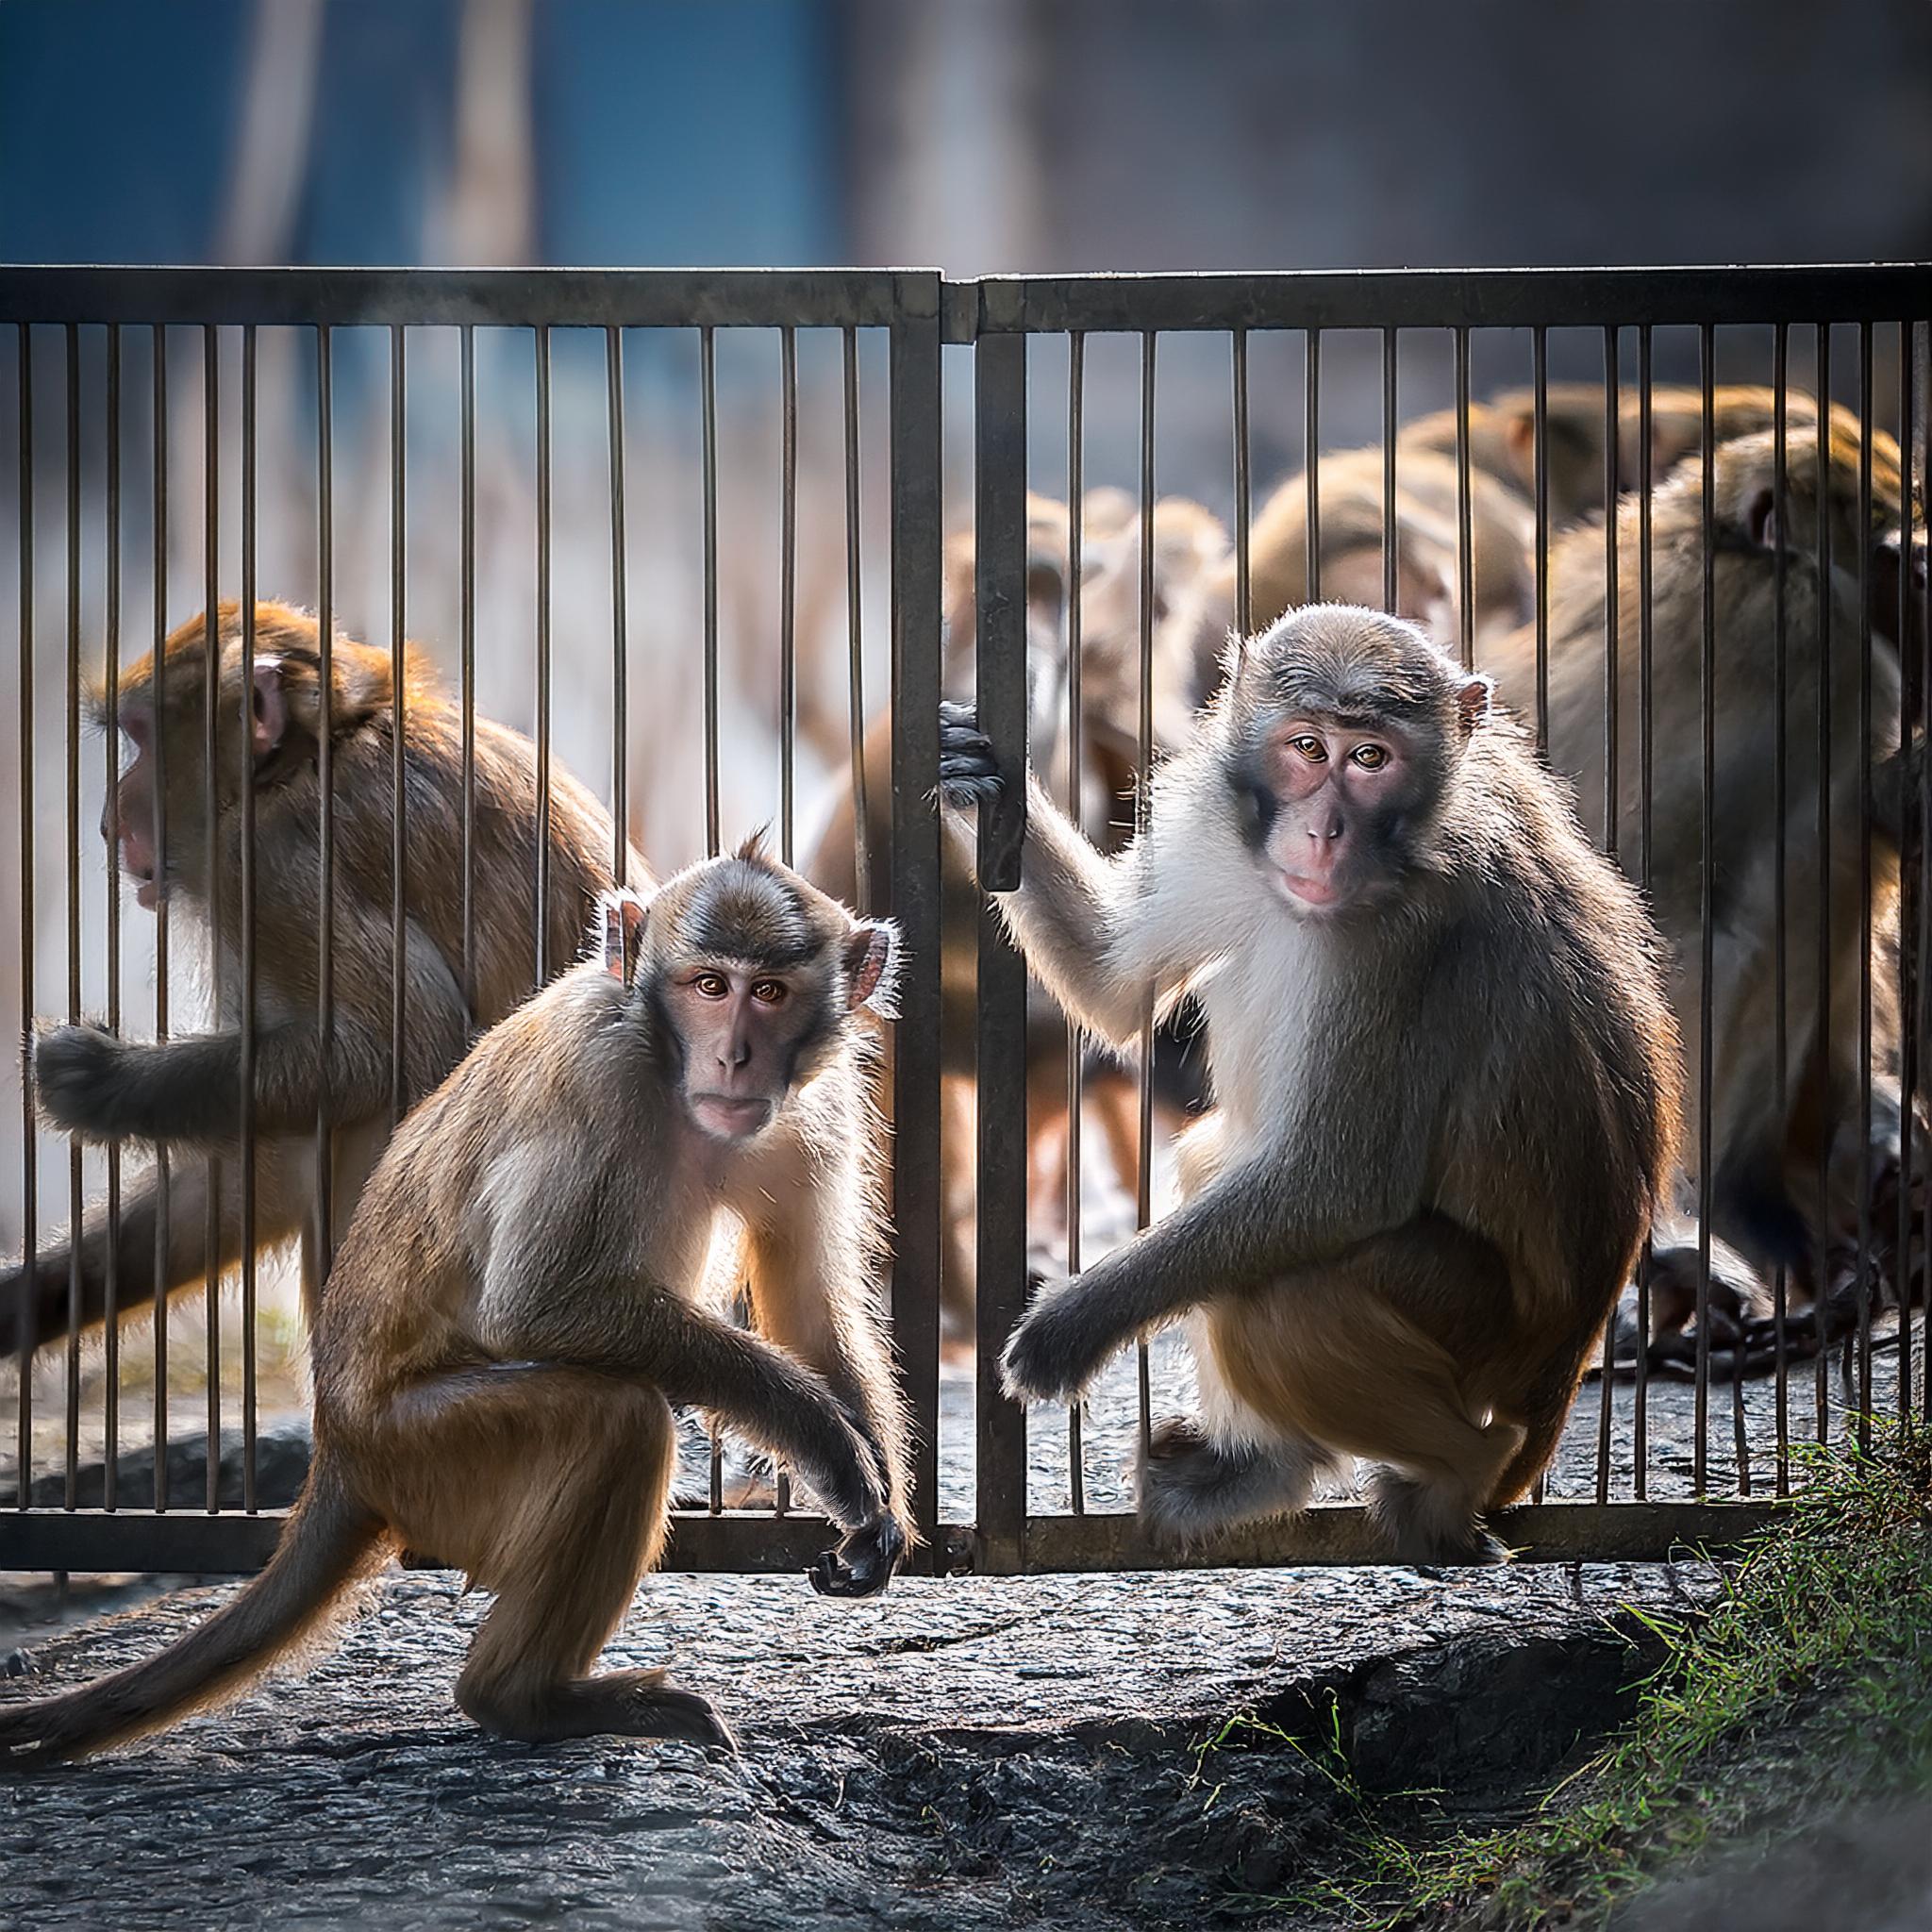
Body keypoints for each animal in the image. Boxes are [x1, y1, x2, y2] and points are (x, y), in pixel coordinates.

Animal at [0, 844, 909, 1763]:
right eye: (709, 986)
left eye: (771, 992)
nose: (733, 1058)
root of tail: (338, 1449)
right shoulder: (606, 1071)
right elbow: (534, 1304)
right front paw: (824, 1439)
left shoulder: (824, 1106)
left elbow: (808, 1307)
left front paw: (875, 1503)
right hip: (426, 1450)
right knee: (614, 1420)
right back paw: (523, 1699)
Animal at [1, 600, 649, 1359]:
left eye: (140, 739)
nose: (110, 821)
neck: (314, 755)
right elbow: (261, 1172)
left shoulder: (270, 863)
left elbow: (407, 1043)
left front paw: (98, 1083)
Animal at [940, 604, 1680, 1562]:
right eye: (1306, 747)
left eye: (1371, 757)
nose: (1324, 830)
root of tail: (1557, 1379)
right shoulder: (1221, 833)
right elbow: (1111, 980)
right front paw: (979, 780)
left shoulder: (1403, 939)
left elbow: (1341, 1183)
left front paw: (1074, 1324)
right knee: (1217, 1165)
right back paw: (1265, 1471)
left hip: (1482, 1333)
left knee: (1276, 1294)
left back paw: (1460, 1475)